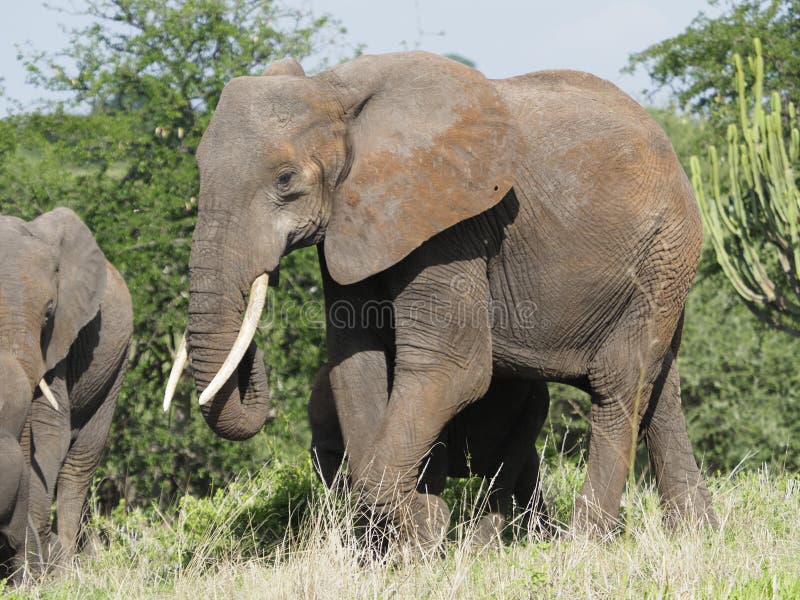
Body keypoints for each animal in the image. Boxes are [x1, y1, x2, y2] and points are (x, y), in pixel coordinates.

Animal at [0, 207, 132, 580]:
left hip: (117, 365)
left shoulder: (59, 345)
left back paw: (68, 566)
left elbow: (50, 432)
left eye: (49, 313)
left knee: (79, 464)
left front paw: (37, 572)